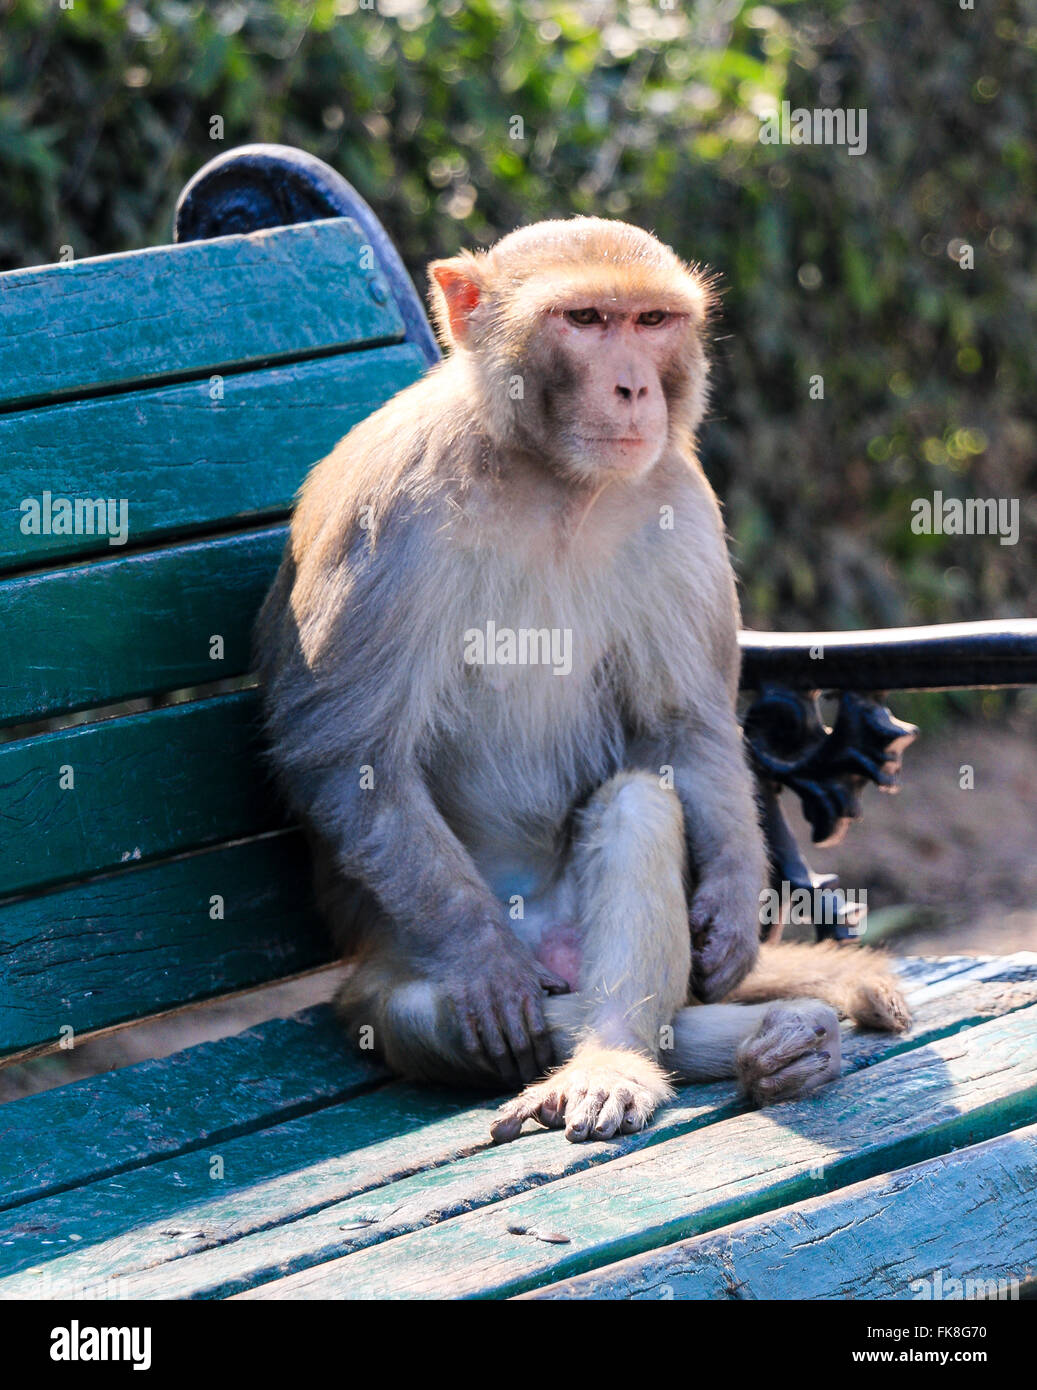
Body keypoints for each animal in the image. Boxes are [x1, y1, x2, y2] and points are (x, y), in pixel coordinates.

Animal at [254, 216, 909, 1145]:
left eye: (650, 321)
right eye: (587, 319)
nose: (634, 388)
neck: (549, 480)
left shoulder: (679, 495)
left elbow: (683, 722)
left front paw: (735, 898)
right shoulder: (385, 513)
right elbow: (347, 754)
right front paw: (484, 963)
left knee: (639, 805)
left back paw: (685, 1049)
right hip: (394, 962)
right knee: (429, 1014)